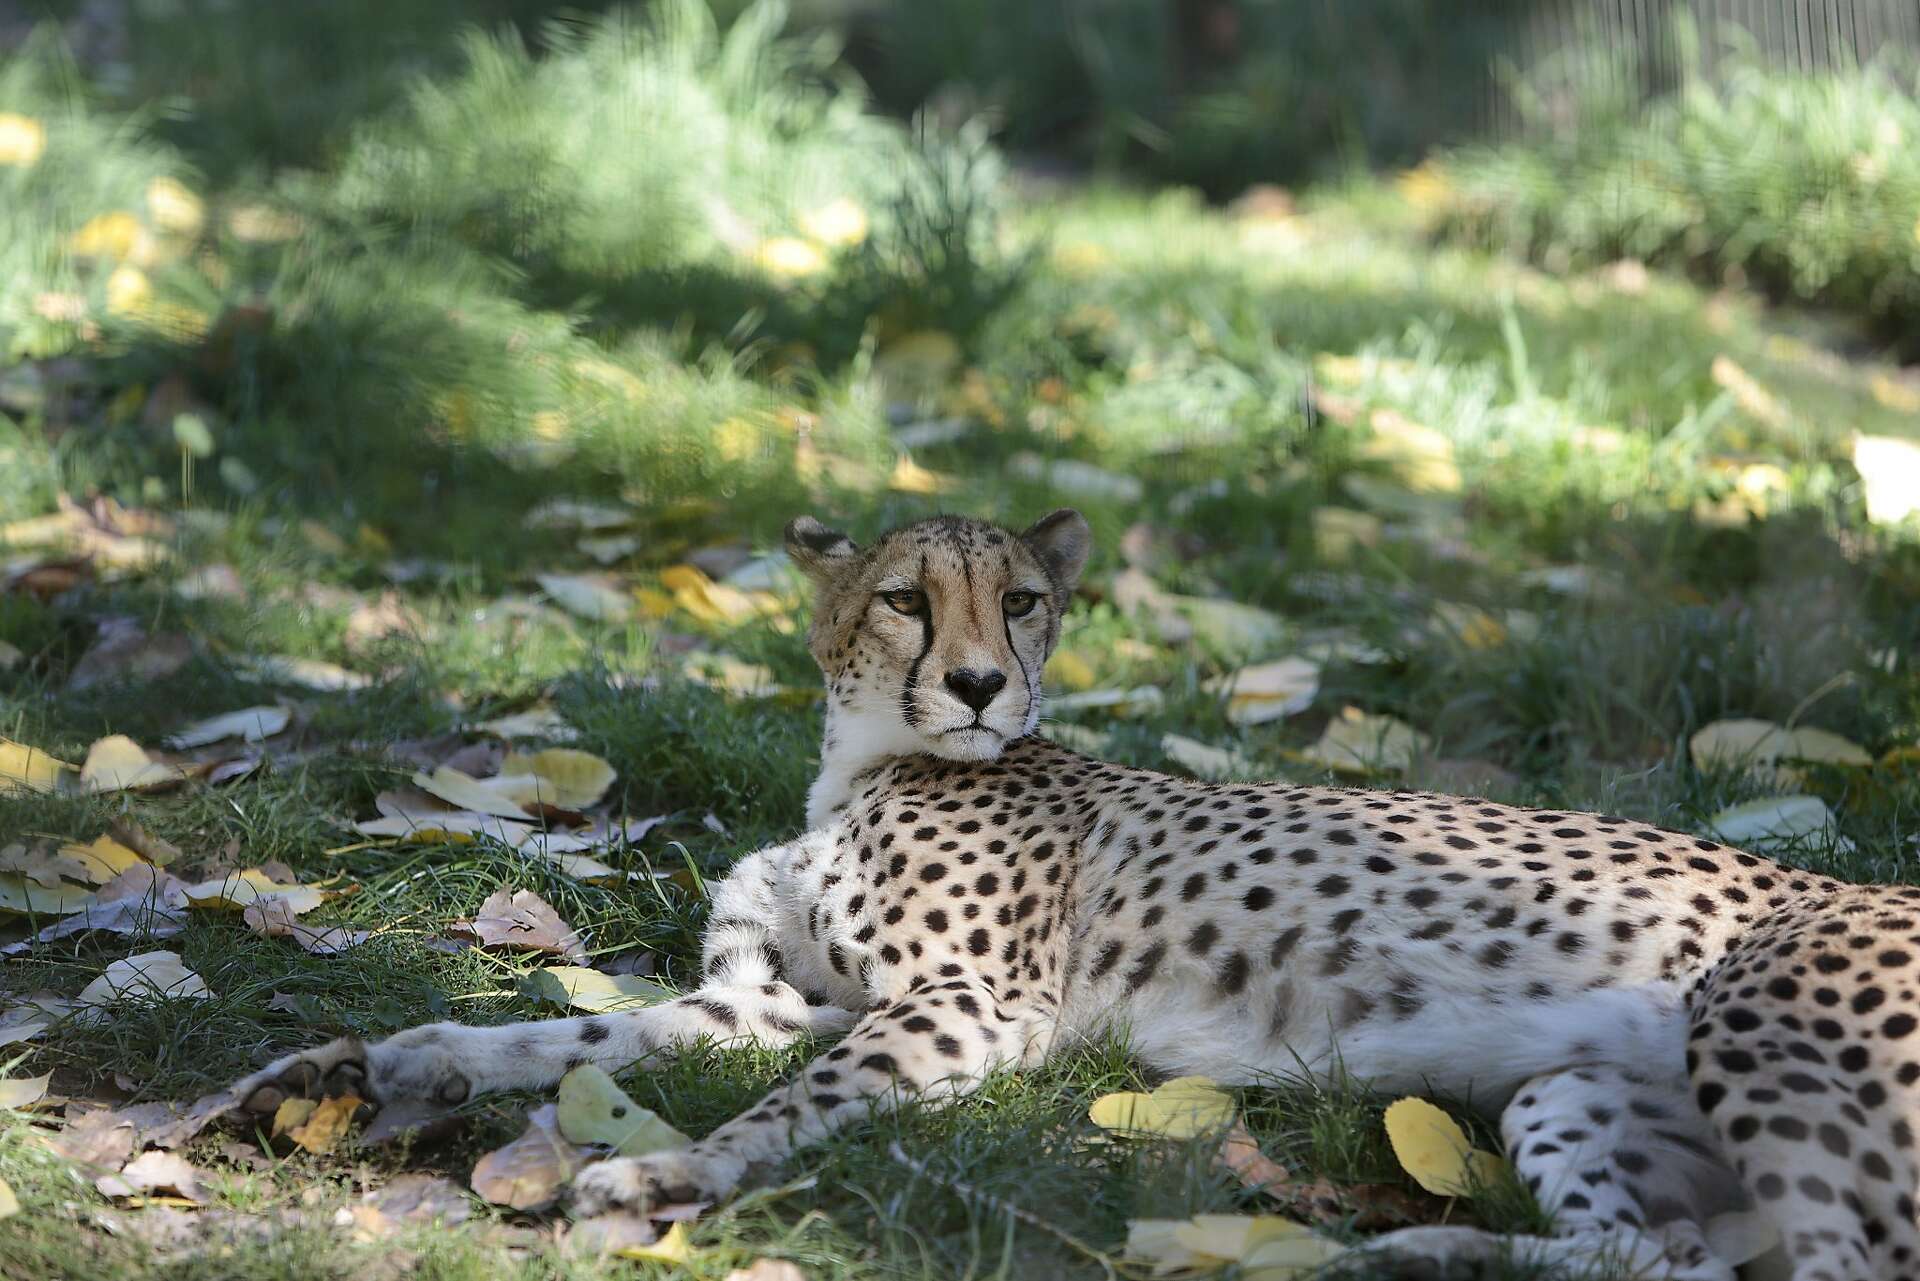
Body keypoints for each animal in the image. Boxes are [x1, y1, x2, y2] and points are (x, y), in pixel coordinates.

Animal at [232, 509, 1920, 1280]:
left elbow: (782, 1108)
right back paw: (1416, 1251)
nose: (982, 683)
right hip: (1575, 1093)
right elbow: (575, 1032)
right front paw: (384, 1060)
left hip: (1758, 1021)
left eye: (1027, 601)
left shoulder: (974, 1007)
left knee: (1825, 1264)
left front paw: (667, 1178)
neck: (864, 761)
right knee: (1676, 1257)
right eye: (906, 598)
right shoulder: (769, 1000)